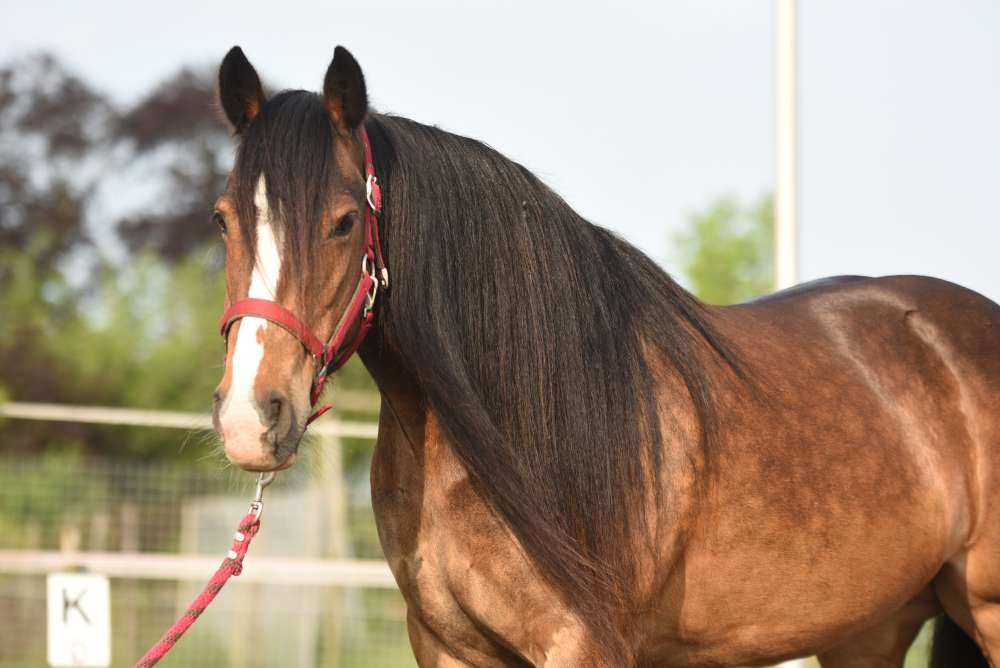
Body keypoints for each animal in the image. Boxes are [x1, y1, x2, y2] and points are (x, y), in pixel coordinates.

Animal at [209, 45, 1000, 667]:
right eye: (222, 220)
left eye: (344, 222)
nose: (252, 418)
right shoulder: (445, 645)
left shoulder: (583, 644)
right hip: (869, 629)